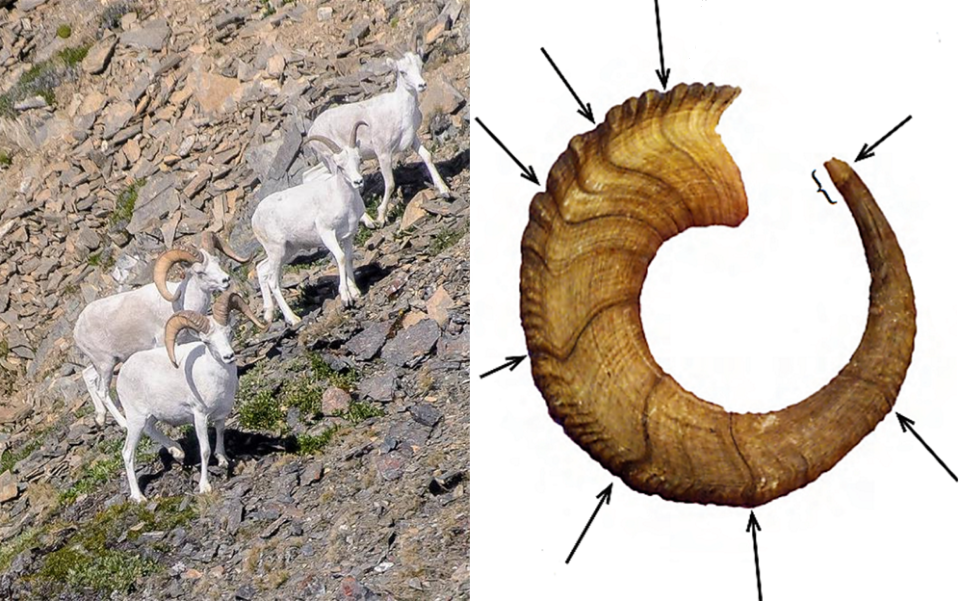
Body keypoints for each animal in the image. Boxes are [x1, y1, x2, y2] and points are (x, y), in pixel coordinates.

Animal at [73, 231, 249, 432]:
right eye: (200, 272)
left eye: (217, 261)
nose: (225, 281)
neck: (181, 302)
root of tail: (77, 330)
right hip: (106, 365)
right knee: (102, 391)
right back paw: (124, 425)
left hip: (107, 363)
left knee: (87, 376)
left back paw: (100, 419)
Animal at [117, 290, 266, 502]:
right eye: (206, 342)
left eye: (229, 332)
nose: (228, 357)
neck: (217, 379)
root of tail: (123, 372)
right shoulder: (200, 417)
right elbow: (205, 450)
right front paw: (205, 487)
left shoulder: (221, 415)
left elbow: (220, 434)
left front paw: (223, 460)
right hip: (135, 419)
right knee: (128, 453)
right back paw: (139, 497)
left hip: (150, 417)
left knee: (151, 429)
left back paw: (177, 452)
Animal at [253, 120, 370, 324]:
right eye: (340, 166)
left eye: (359, 160)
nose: (358, 181)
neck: (341, 198)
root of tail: (255, 218)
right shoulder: (327, 234)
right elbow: (340, 258)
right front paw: (346, 297)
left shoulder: (348, 235)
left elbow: (347, 257)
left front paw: (355, 292)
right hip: (277, 251)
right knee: (272, 281)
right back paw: (293, 319)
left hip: (287, 250)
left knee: (261, 269)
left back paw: (268, 314)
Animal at [310, 27, 456, 227]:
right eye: (402, 71)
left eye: (420, 65)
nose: (422, 85)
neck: (400, 110)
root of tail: (312, 130)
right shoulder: (383, 153)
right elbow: (391, 183)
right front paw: (381, 217)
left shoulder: (412, 139)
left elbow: (427, 156)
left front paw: (445, 191)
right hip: (333, 161)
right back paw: (370, 221)